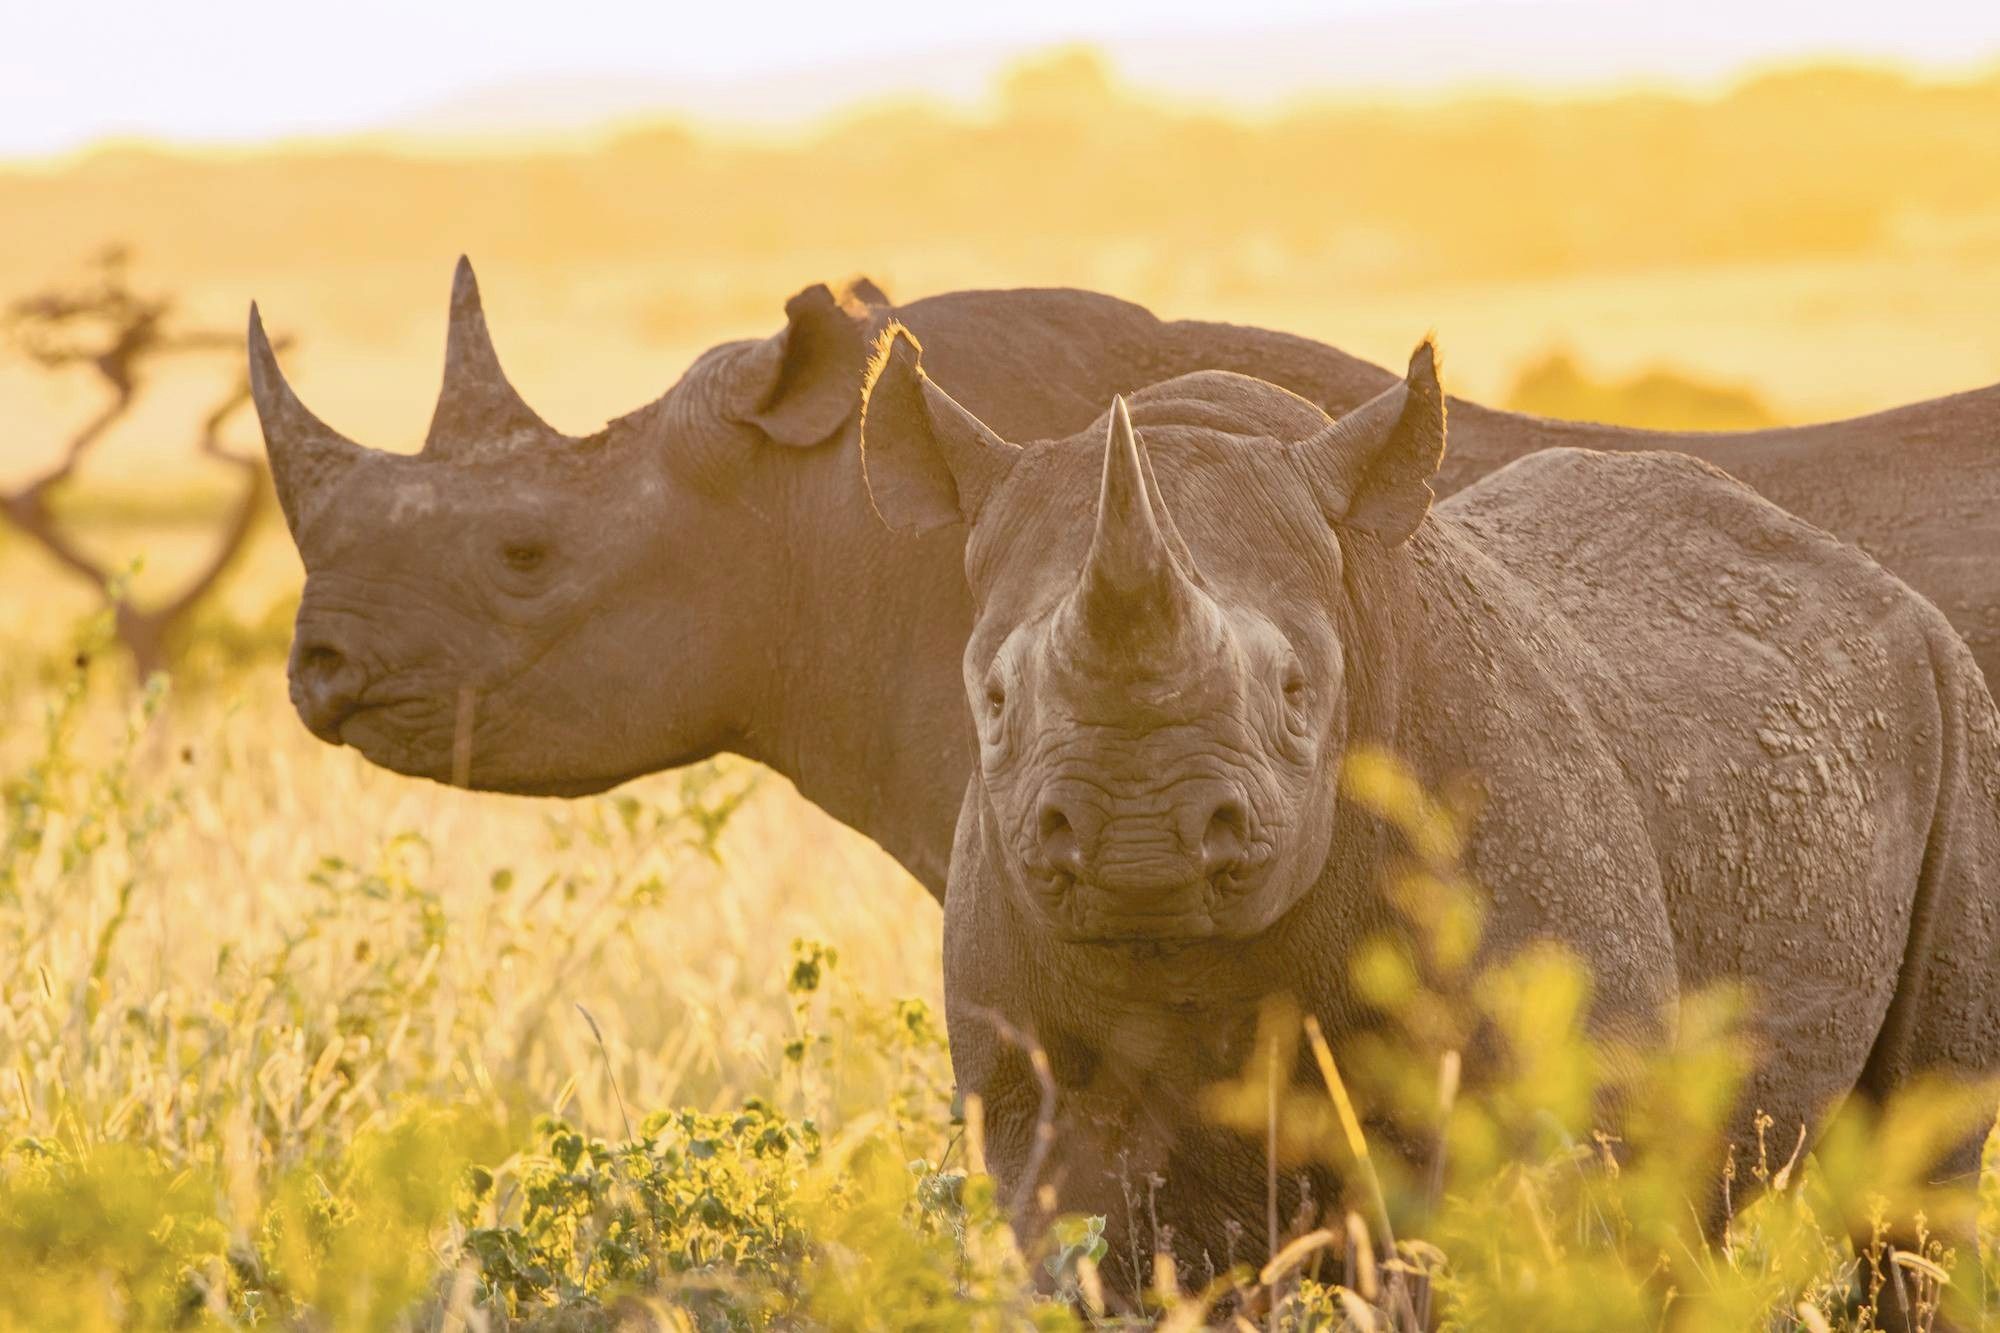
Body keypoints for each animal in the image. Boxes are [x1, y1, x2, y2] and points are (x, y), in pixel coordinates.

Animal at [857, 328, 2000, 1289]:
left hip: (1955, 703)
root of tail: (1878, 580)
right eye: (994, 697)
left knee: (1913, 1178)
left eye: (1296, 693)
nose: (1138, 835)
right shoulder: (1036, 1104)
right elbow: (1106, 1249)